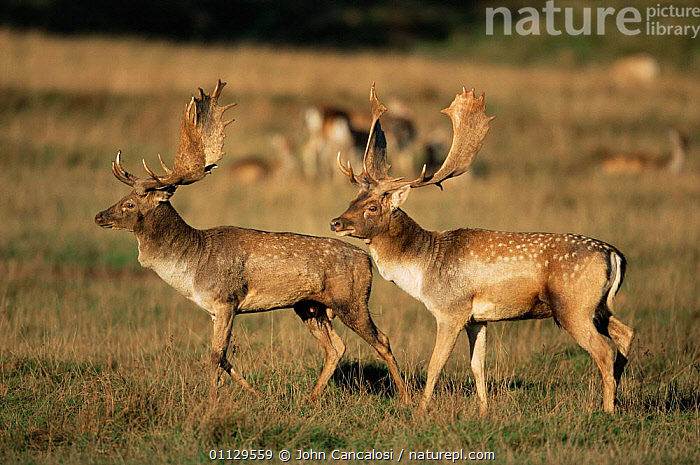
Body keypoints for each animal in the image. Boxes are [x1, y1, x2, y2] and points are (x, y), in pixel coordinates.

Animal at [94, 81, 408, 404]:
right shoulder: (214, 310)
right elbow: (223, 357)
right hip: (310, 307)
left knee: (382, 340)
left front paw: (211, 400)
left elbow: (215, 354)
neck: (192, 265)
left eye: (130, 204)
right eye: (122, 198)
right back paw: (311, 398)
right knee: (336, 347)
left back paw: (406, 397)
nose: (99, 216)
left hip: (351, 301)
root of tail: (367, 260)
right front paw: (254, 393)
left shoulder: (226, 300)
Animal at [331, 85, 635, 415]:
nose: (336, 222)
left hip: (573, 305)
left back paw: (607, 410)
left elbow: (436, 363)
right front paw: (484, 410)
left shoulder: (451, 309)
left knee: (603, 351)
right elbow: (477, 365)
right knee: (625, 333)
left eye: (372, 207)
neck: (425, 267)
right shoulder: (478, 319)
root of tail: (614, 255)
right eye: (353, 200)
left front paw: (421, 410)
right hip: (598, 306)